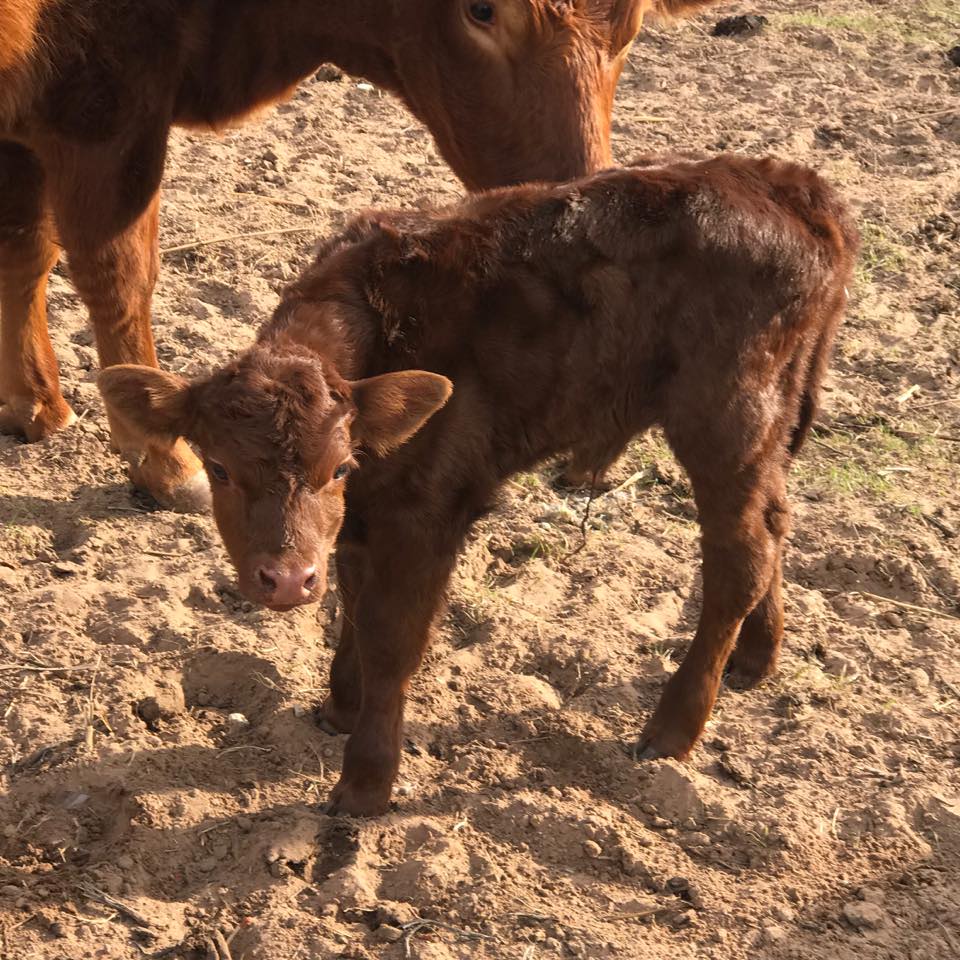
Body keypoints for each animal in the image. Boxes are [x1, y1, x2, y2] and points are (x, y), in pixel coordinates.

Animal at [0, 0, 719, 509]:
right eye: (481, 9)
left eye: (630, 27)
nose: (583, 206)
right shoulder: (102, 102)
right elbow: (118, 272)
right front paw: (163, 459)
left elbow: (24, 252)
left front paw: (33, 405)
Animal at [98, 154, 857, 816]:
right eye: (220, 468)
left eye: (337, 467)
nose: (285, 580)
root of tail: (787, 183)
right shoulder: (365, 522)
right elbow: (352, 603)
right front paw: (340, 707)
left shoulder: (427, 514)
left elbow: (390, 637)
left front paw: (365, 783)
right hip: (769, 426)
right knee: (773, 525)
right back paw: (754, 659)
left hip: (725, 417)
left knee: (738, 555)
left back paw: (672, 728)